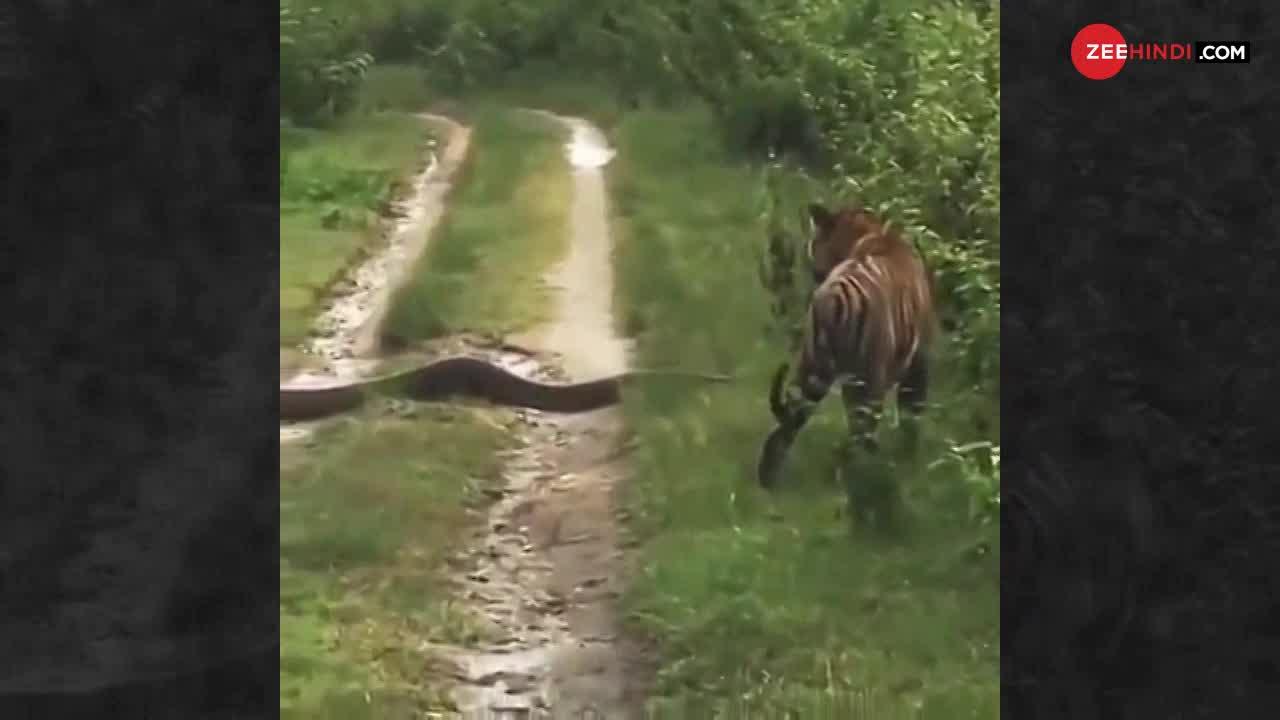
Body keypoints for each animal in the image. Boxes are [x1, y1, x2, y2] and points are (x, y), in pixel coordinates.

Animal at [757, 202, 938, 489]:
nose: (814, 273)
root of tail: (833, 299)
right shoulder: (918, 362)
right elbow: (912, 414)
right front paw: (908, 459)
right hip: (870, 377)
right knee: (860, 432)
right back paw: (863, 473)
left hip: (812, 370)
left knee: (787, 424)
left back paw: (768, 480)